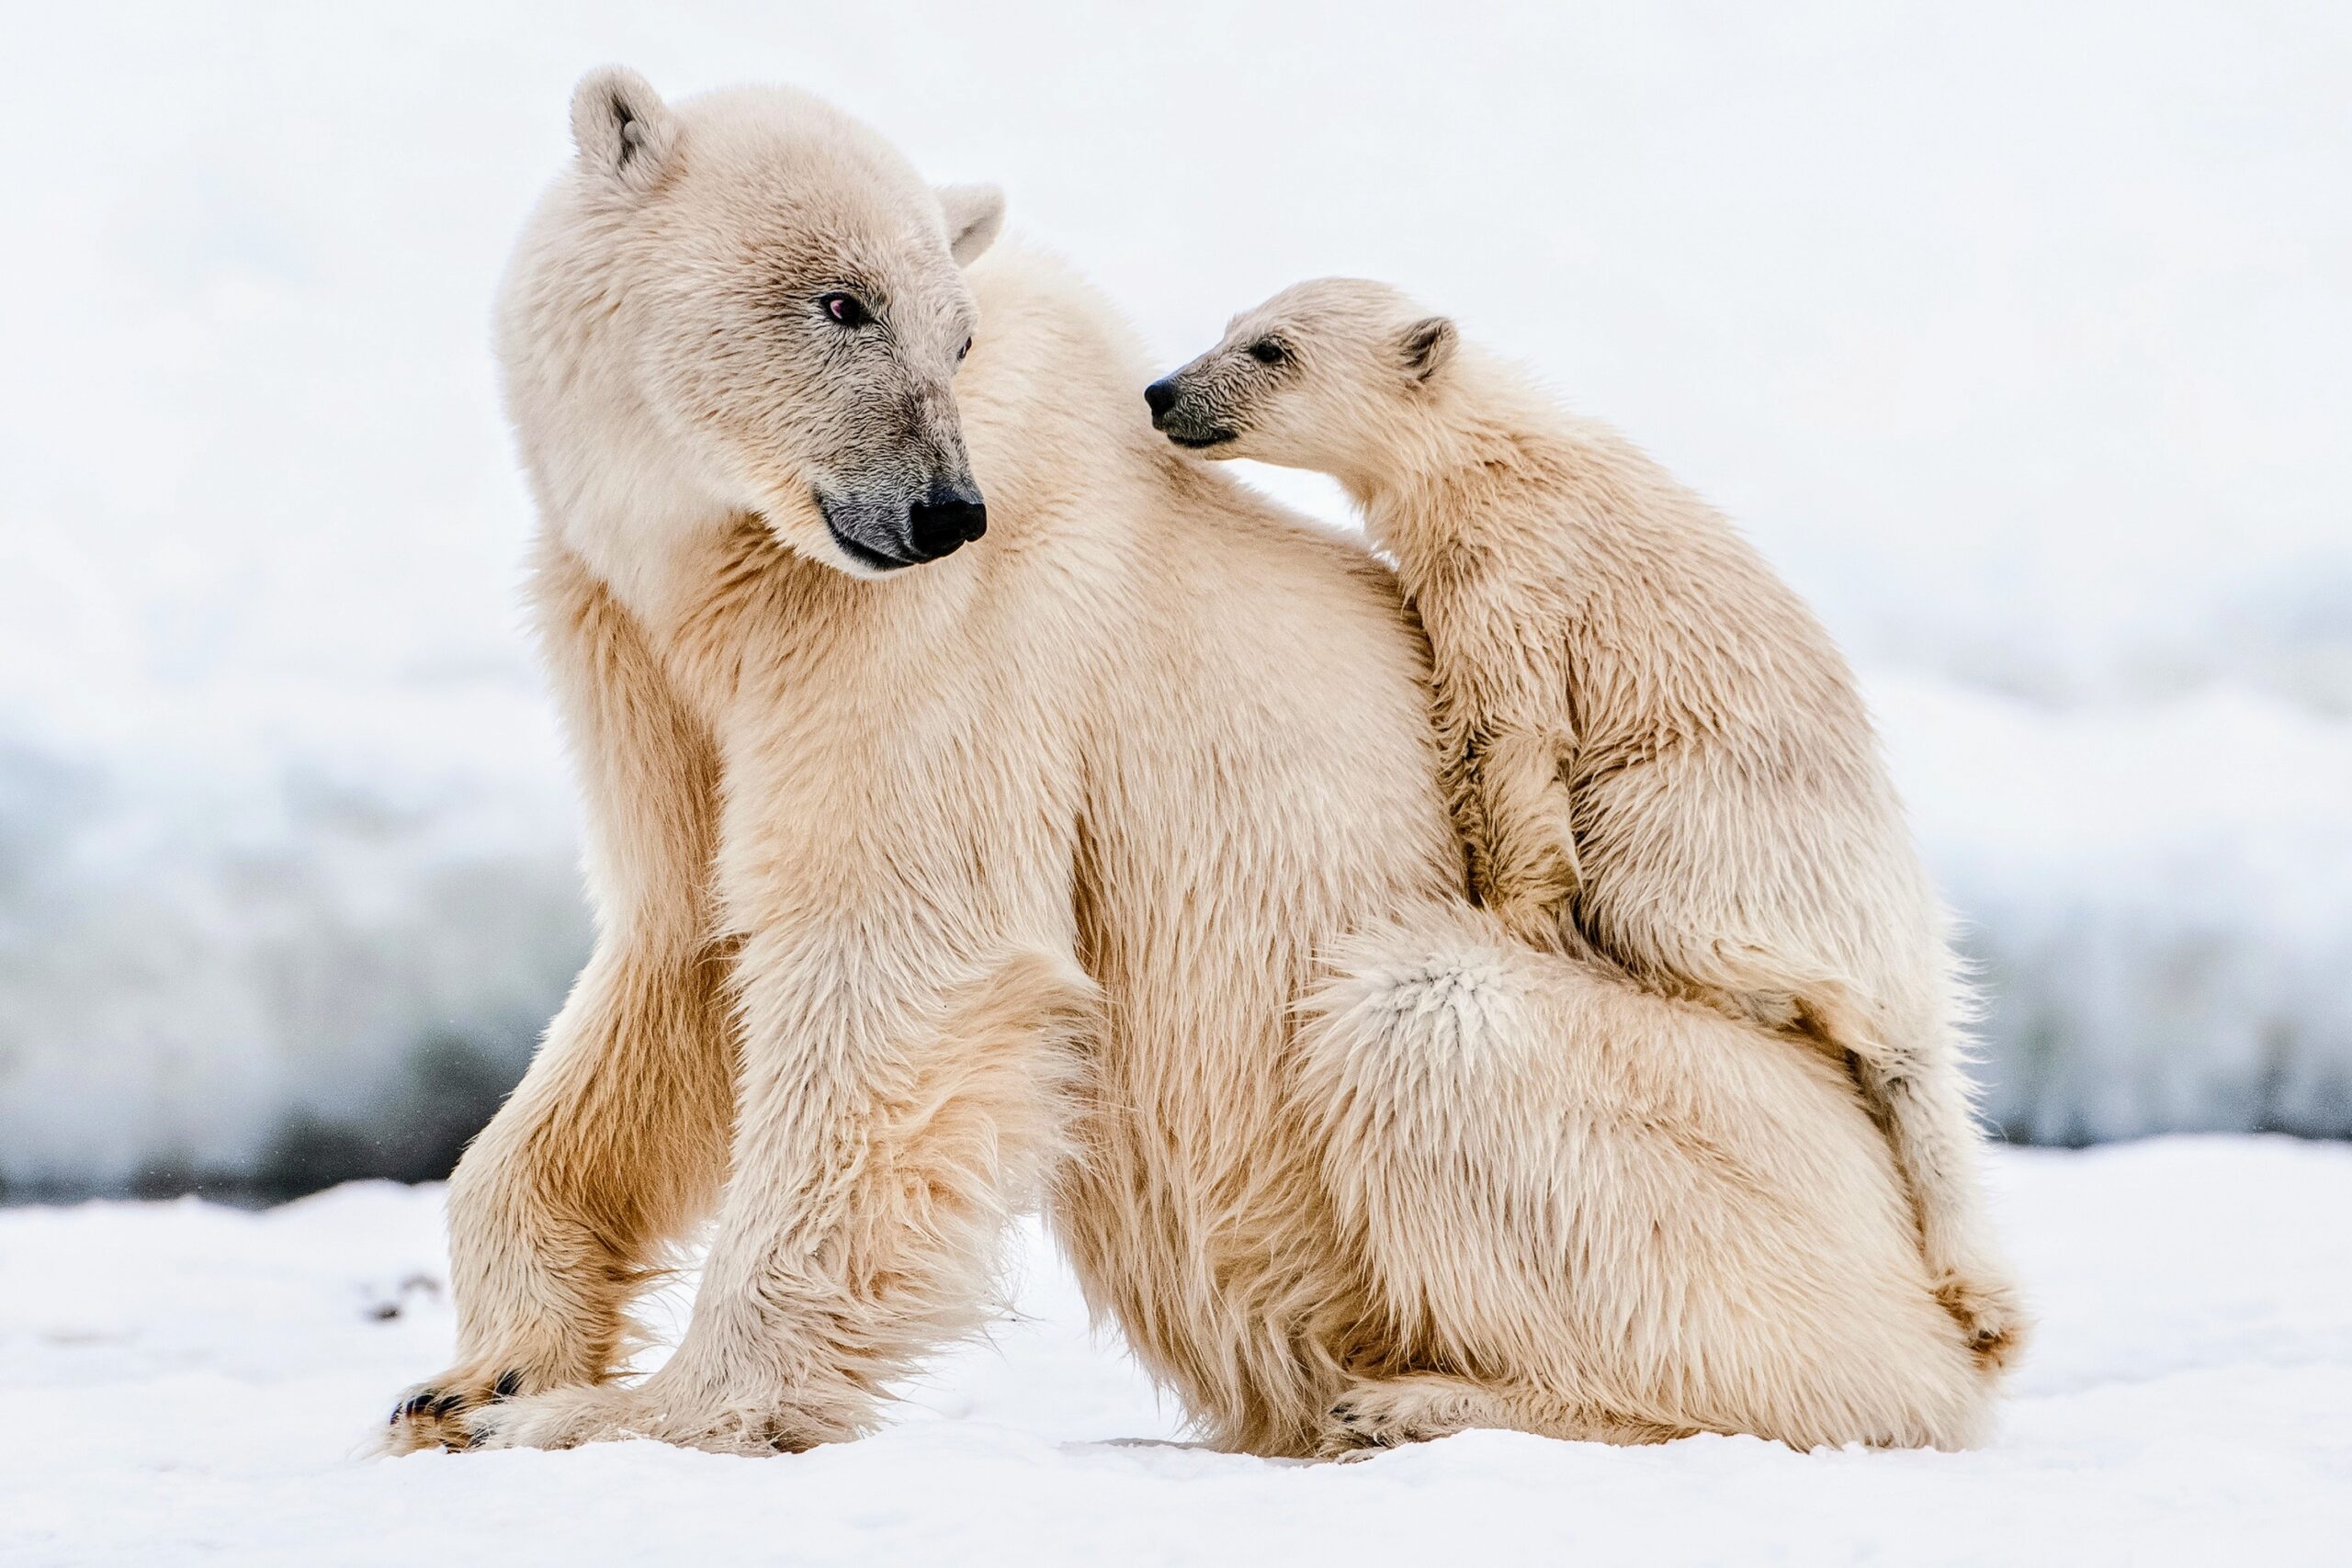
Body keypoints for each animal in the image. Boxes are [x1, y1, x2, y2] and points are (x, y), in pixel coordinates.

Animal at [1145, 276, 2027, 1370]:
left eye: (1272, 349)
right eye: (1229, 327)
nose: (1162, 390)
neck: (1490, 457)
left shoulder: (1518, 580)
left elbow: (1511, 734)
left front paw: (1514, 913)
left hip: (1712, 825)